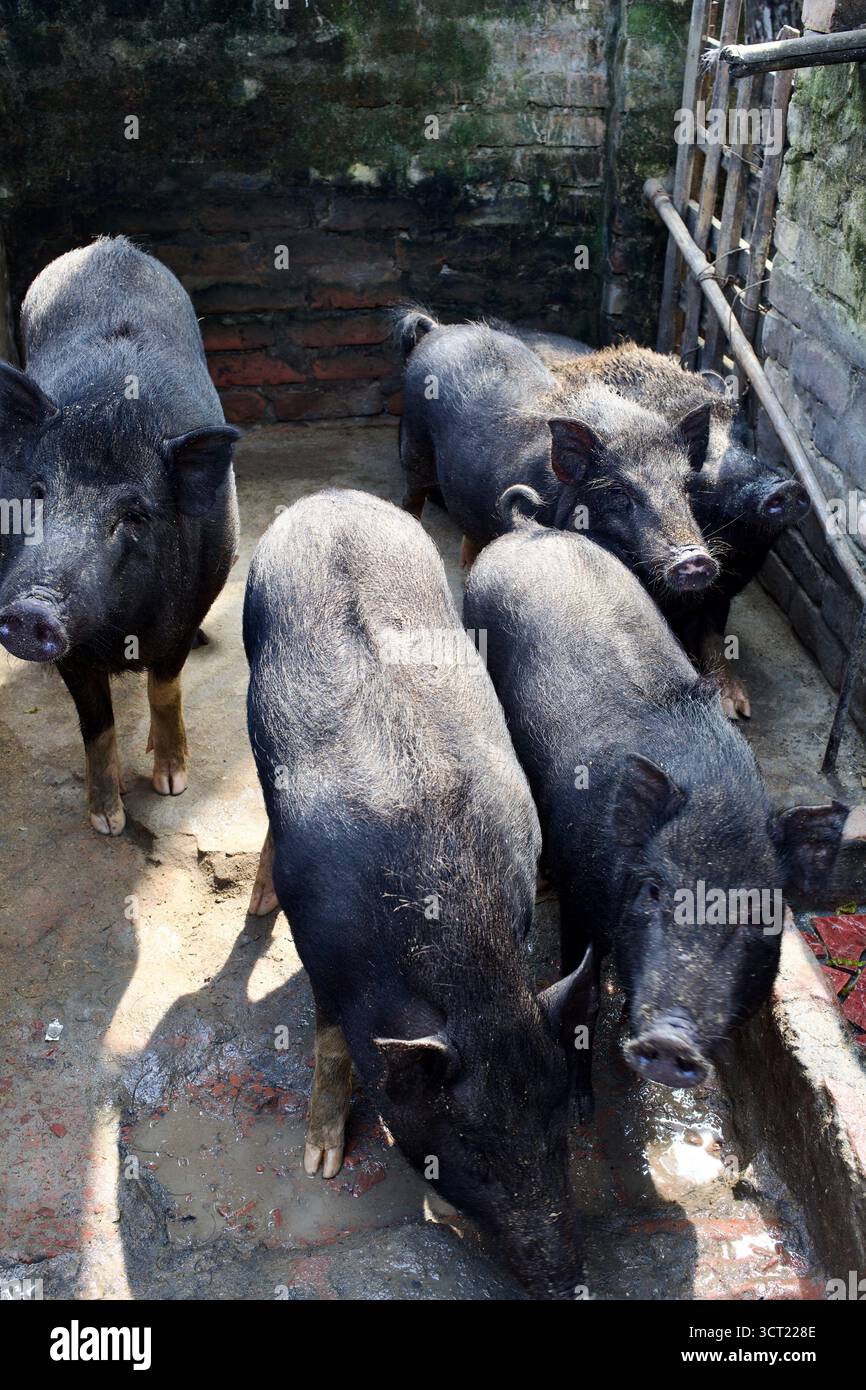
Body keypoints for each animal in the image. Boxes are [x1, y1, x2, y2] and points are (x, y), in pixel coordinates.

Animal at [0, 236, 240, 834]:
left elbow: (165, 687)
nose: (32, 609)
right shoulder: (74, 656)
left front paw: (173, 785)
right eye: (36, 492)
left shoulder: (188, 607)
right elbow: (96, 723)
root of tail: (111, 246)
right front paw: (107, 822)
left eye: (134, 514)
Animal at [243, 488, 595, 1300]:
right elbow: (329, 1045)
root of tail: (331, 497)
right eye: (476, 1154)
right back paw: (254, 906)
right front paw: (320, 1164)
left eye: (559, 1130)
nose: (568, 1278)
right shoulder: (320, 948)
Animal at [396, 309, 720, 597]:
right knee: (414, 492)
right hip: (414, 437)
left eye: (686, 487)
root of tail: (438, 328)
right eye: (617, 492)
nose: (694, 558)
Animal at [464, 497, 854, 1109]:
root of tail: (525, 529)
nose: (671, 1041)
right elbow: (582, 995)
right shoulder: (580, 895)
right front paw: (584, 1106)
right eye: (653, 890)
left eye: (760, 913)